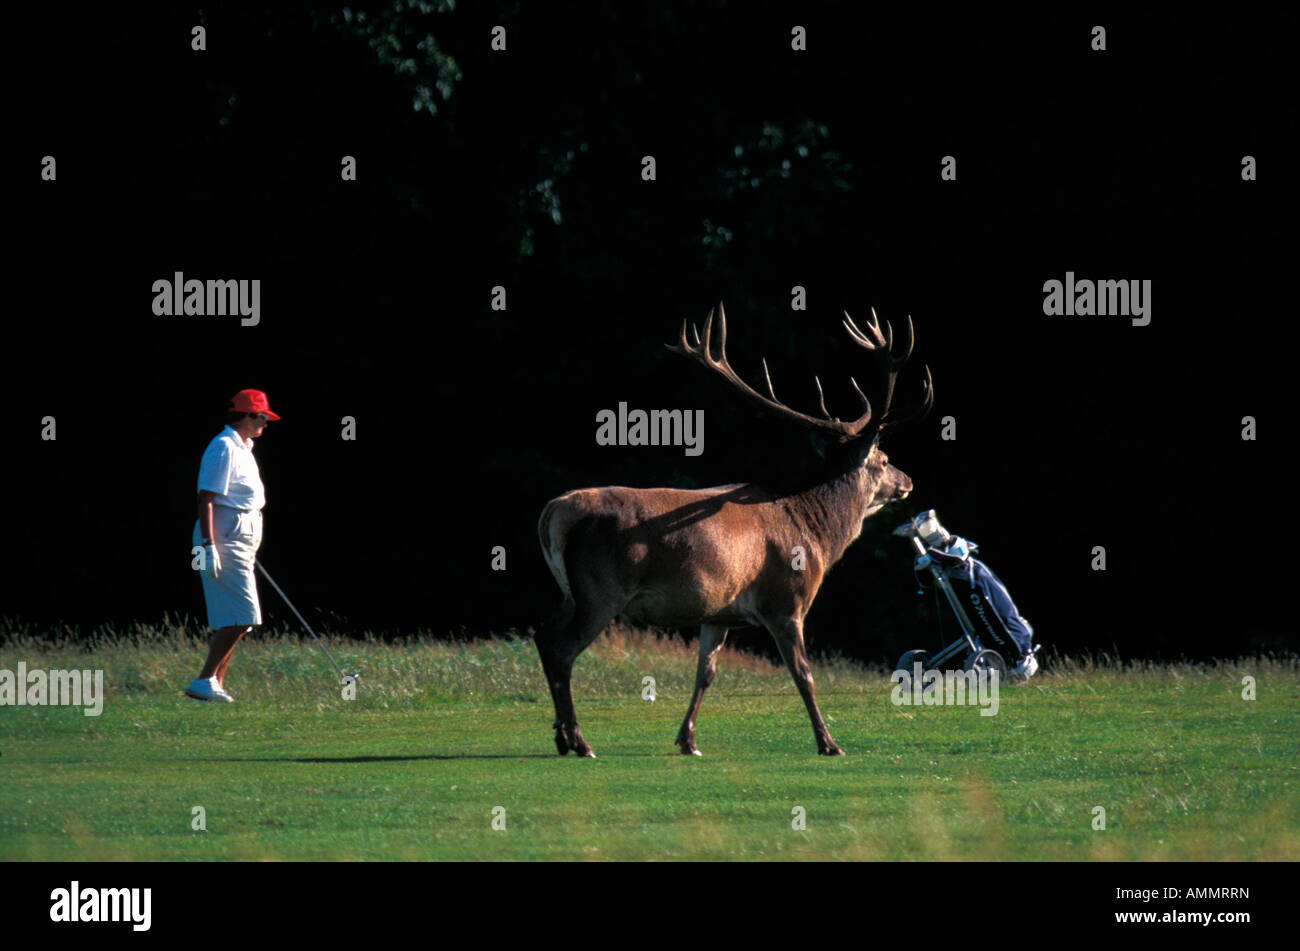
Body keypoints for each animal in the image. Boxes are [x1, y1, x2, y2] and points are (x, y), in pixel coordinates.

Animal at [535, 303, 933, 757]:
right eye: (883, 459)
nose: (908, 481)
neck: (816, 532)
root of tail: (554, 512)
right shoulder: (786, 601)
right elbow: (803, 673)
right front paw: (829, 743)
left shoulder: (718, 611)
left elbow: (705, 673)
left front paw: (688, 740)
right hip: (602, 590)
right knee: (562, 650)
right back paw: (579, 741)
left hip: (571, 592)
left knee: (543, 637)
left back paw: (562, 735)